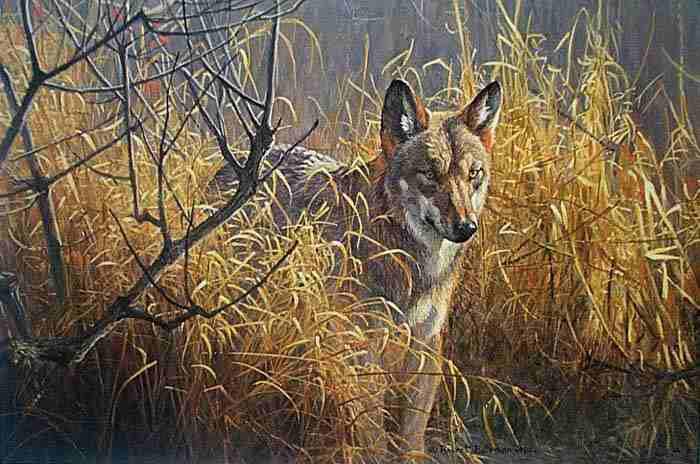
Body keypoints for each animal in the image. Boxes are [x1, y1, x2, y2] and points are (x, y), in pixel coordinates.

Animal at [212, 79, 502, 459]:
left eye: (473, 175)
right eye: (429, 174)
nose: (466, 227)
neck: (409, 266)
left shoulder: (425, 348)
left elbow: (411, 438)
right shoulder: (360, 353)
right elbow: (373, 434)